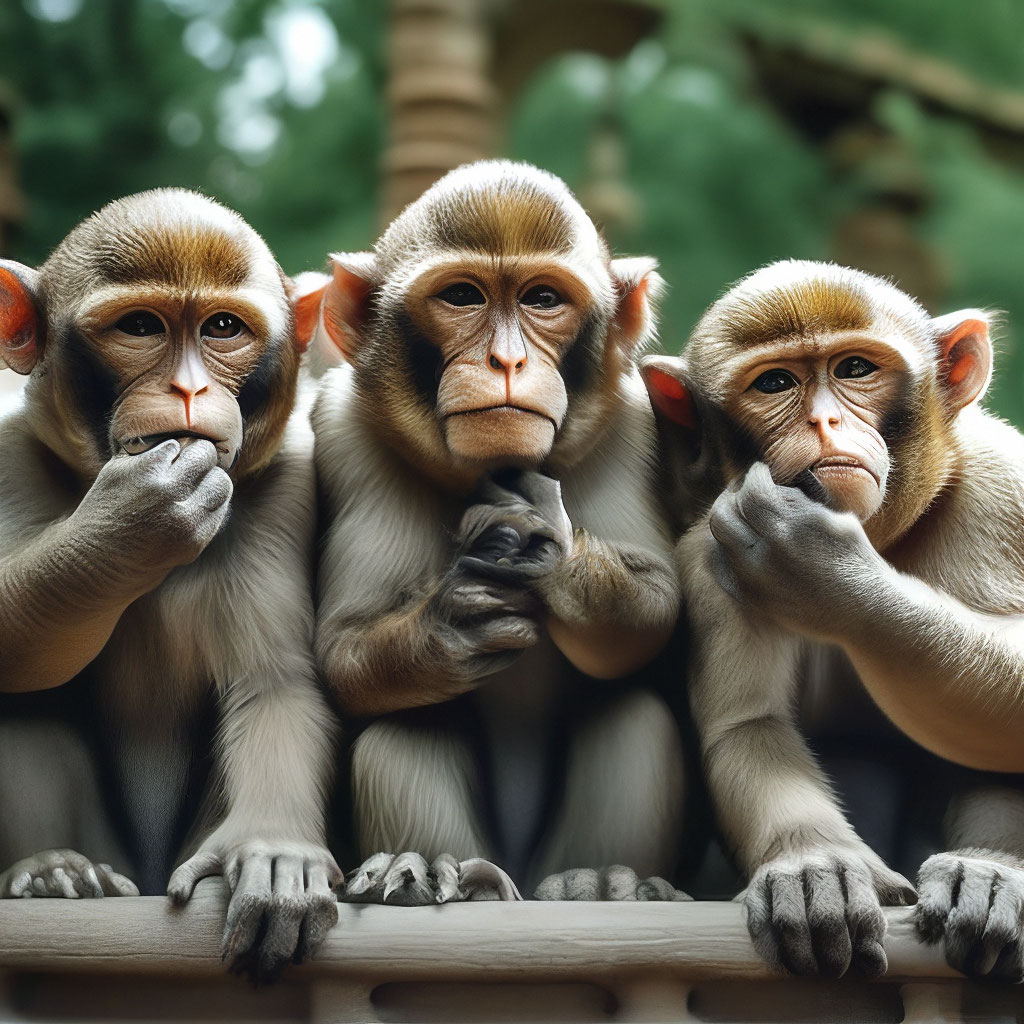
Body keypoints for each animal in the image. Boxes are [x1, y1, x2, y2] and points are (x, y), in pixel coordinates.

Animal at [0, 189, 341, 975]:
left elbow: (273, 683)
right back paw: (51, 866)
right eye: (140, 327)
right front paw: (127, 527)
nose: (187, 388)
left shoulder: (286, 481)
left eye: (222, 328)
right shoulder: (9, 450)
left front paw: (273, 852)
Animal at [305, 160, 689, 904]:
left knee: (635, 715)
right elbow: (342, 646)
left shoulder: (630, 424)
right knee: (407, 721)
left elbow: (654, 605)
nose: (506, 361)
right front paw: (452, 621)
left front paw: (547, 549)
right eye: (462, 296)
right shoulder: (347, 435)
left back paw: (599, 879)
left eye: (543, 298)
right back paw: (429, 866)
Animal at [641, 259, 1024, 982]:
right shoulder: (709, 550)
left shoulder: (1005, 487)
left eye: (854, 369)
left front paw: (824, 569)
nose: (823, 421)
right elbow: (749, 726)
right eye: (775, 383)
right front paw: (812, 867)